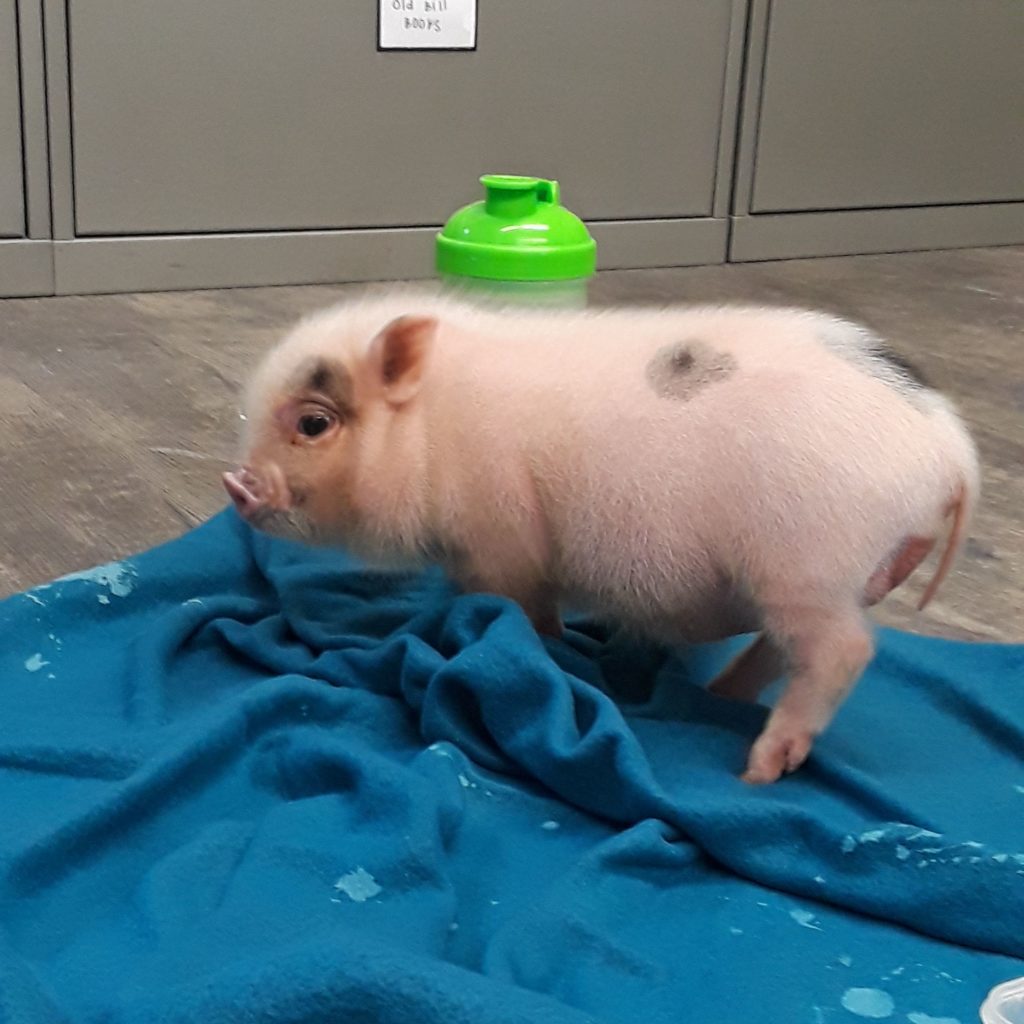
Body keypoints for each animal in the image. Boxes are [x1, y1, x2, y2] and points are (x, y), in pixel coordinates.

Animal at [224, 292, 979, 784]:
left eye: (314, 423)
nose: (237, 484)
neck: (435, 427)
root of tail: (951, 449)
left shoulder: (502, 541)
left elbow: (520, 612)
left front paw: (539, 647)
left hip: (808, 564)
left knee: (845, 651)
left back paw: (757, 771)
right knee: (782, 647)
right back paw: (722, 698)